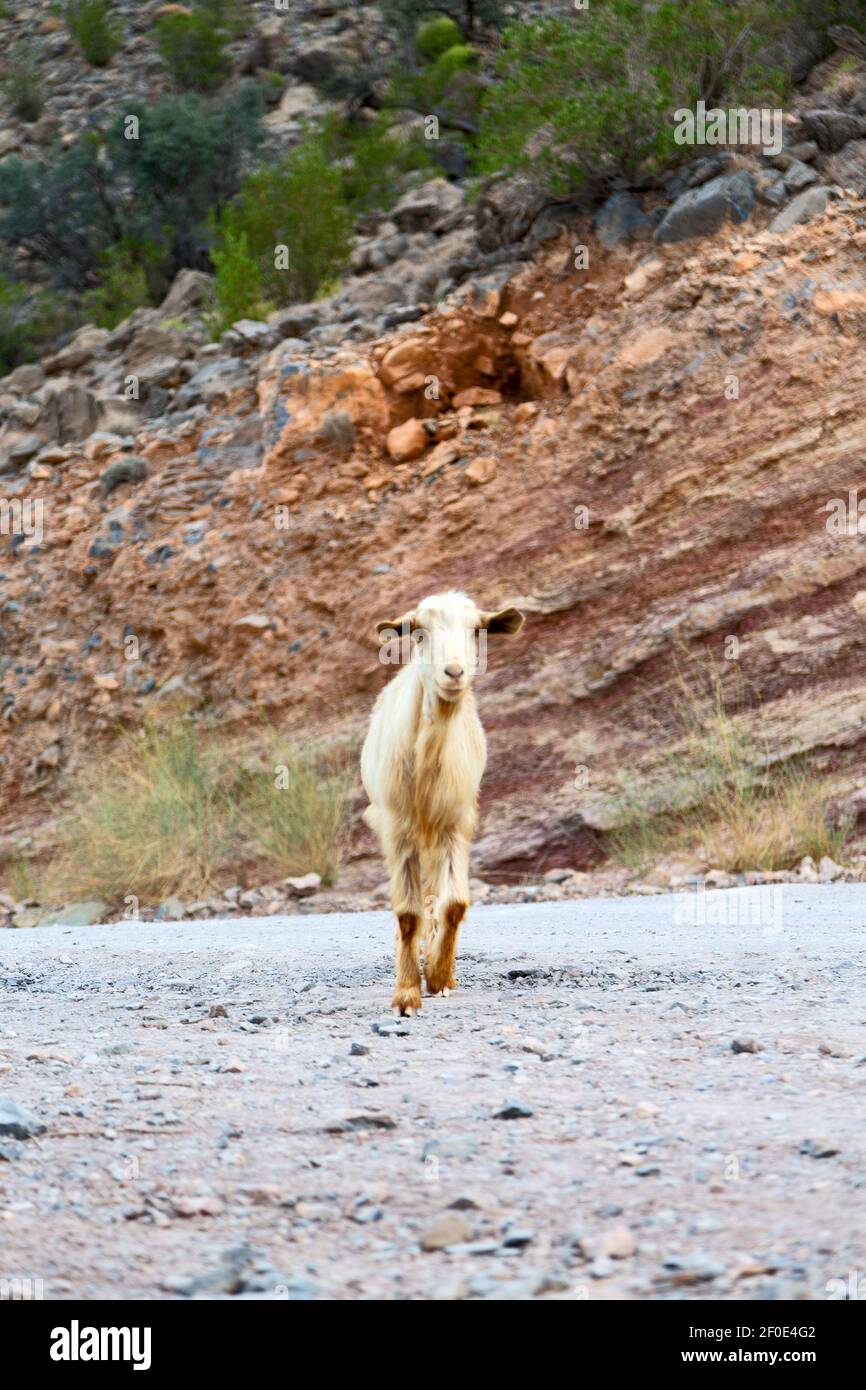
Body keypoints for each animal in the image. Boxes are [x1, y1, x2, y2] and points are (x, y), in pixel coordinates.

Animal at [361, 590, 525, 1015]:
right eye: (419, 632)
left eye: (477, 631)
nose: (454, 672)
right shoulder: (397, 824)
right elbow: (407, 913)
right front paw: (406, 994)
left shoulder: (456, 821)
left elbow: (454, 904)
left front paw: (437, 976)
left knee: (437, 895)